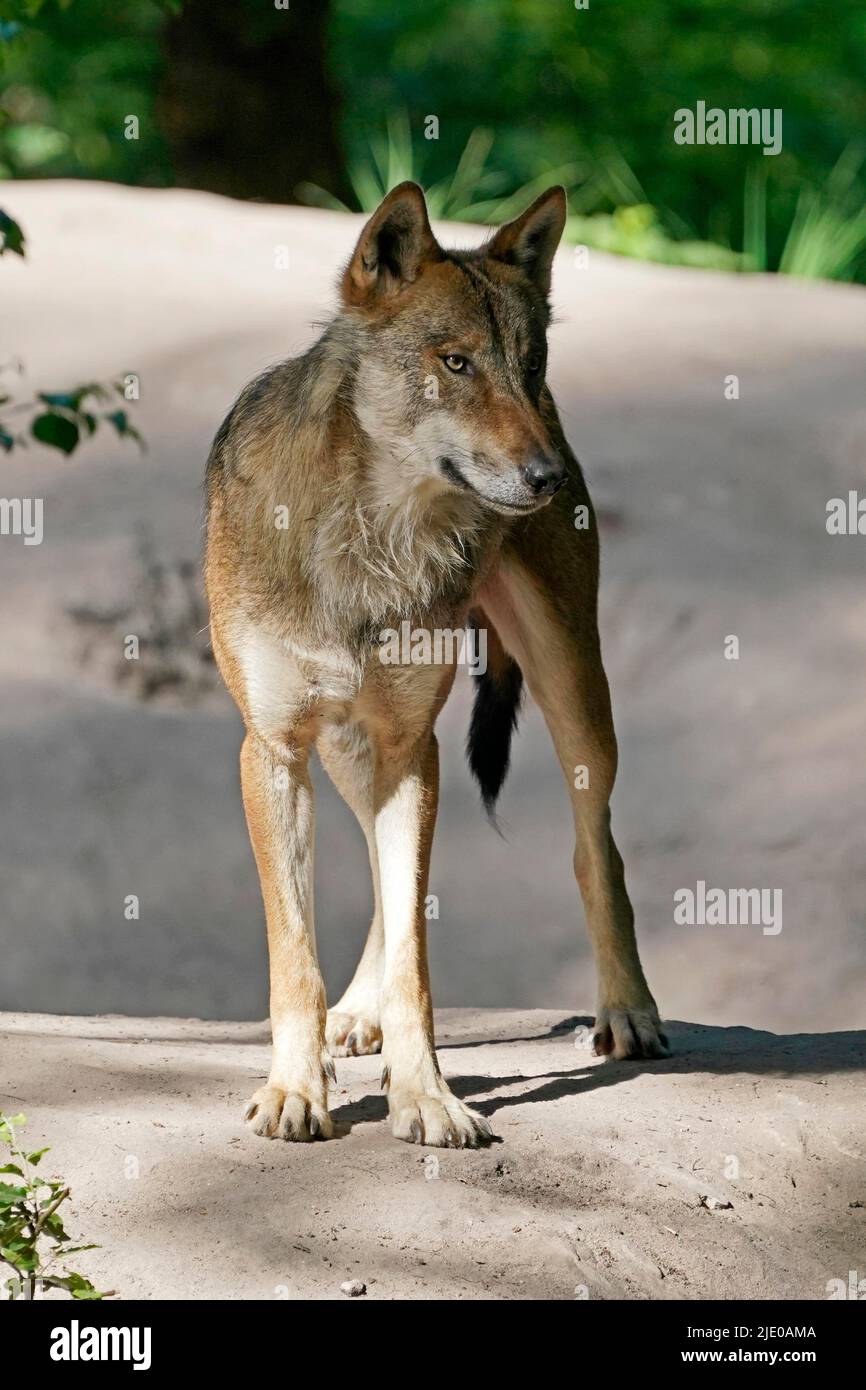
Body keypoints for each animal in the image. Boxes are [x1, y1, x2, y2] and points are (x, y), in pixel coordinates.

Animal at [205, 182, 668, 1148]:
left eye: (528, 365)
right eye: (456, 364)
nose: (547, 477)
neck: (369, 536)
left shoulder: (411, 745)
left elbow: (419, 963)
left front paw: (425, 1099)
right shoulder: (275, 751)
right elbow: (297, 955)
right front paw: (296, 1092)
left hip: (572, 697)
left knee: (592, 847)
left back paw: (629, 1009)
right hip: (354, 754)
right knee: (392, 892)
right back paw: (356, 1013)